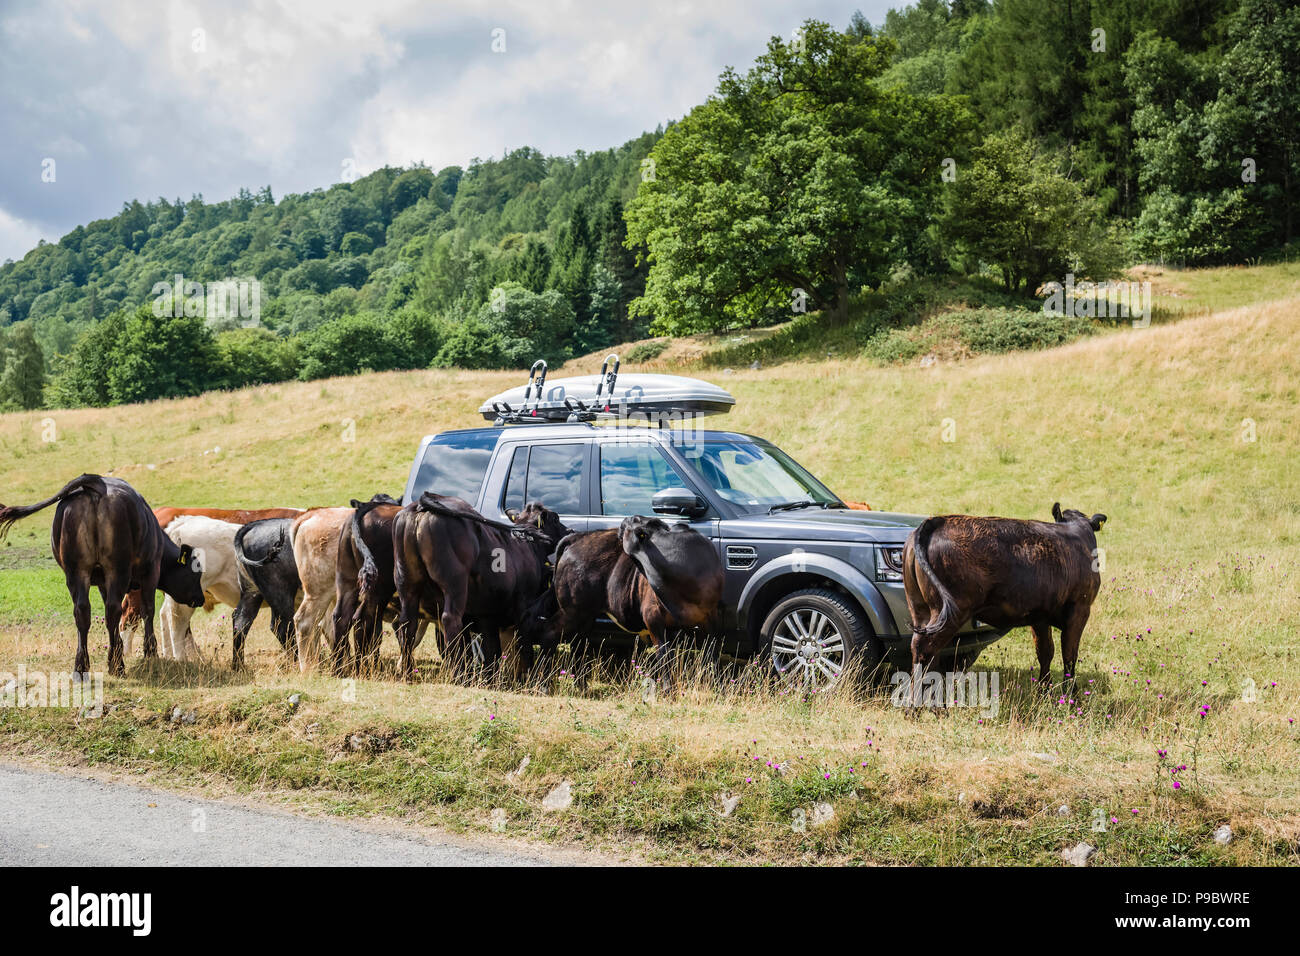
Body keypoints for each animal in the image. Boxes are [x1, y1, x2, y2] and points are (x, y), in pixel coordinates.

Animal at [0, 475, 205, 676]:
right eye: (196, 574)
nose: (201, 599)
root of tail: (97, 483)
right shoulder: (151, 572)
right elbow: (147, 610)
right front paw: (150, 655)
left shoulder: (100, 582)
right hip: (117, 570)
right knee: (113, 610)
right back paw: (117, 666)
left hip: (76, 572)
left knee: (83, 611)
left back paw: (82, 666)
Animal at [231, 517, 301, 670]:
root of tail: (255, 524)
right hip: (280, 591)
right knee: (282, 626)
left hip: (251, 591)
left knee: (240, 622)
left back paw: (238, 667)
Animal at [392, 495, 568, 682]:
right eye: (555, 519)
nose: (570, 530)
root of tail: (420, 506)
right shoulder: (523, 607)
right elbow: (521, 648)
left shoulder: (486, 615)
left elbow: (491, 650)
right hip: (455, 584)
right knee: (450, 619)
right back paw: (458, 674)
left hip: (407, 583)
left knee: (408, 623)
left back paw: (408, 672)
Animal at [522, 515, 724, 693]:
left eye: (632, 521)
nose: (622, 522)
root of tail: (578, 537)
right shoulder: (653, 617)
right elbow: (664, 654)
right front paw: (668, 689)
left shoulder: (711, 617)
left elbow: (712, 651)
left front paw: (716, 686)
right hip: (572, 611)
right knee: (550, 633)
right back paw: (544, 685)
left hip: (585, 616)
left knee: (578, 643)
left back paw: (581, 685)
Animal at [903, 502, 1107, 696]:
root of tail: (938, 521)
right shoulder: (1080, 608)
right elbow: (1069, 656)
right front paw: (1071, 697)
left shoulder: (1040, 616)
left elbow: (1045, 652)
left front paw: (1044, 692)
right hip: (951, 611)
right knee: (926, 648)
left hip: (920, 607)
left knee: (919, 646)